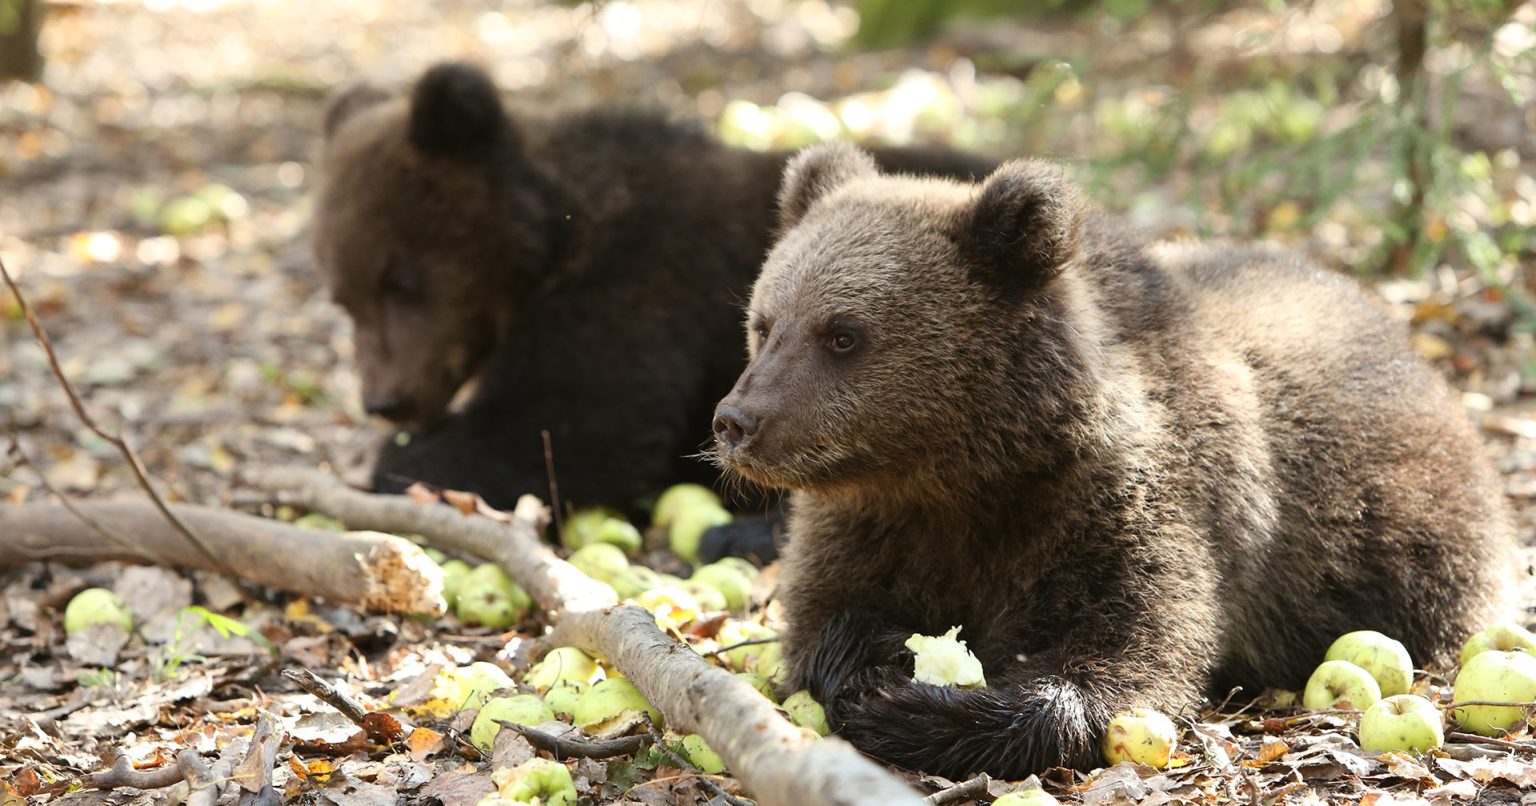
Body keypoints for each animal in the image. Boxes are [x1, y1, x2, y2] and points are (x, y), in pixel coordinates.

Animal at [311, 62, 998, 556]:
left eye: (403, 283)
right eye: (346, 298)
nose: (385, 400)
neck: (551, 246)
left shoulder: (642, 290)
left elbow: (573, 423)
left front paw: (394, 461)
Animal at [709, 142, 1521, 778]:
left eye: (843, 334)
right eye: (765, 321)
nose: (737, 422)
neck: (966, 472)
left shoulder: (1127, 501)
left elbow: (1128, 650)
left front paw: (919, 706)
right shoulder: (871, 517)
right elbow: (819, 612)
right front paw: (863, 658)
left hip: (1404, 533)